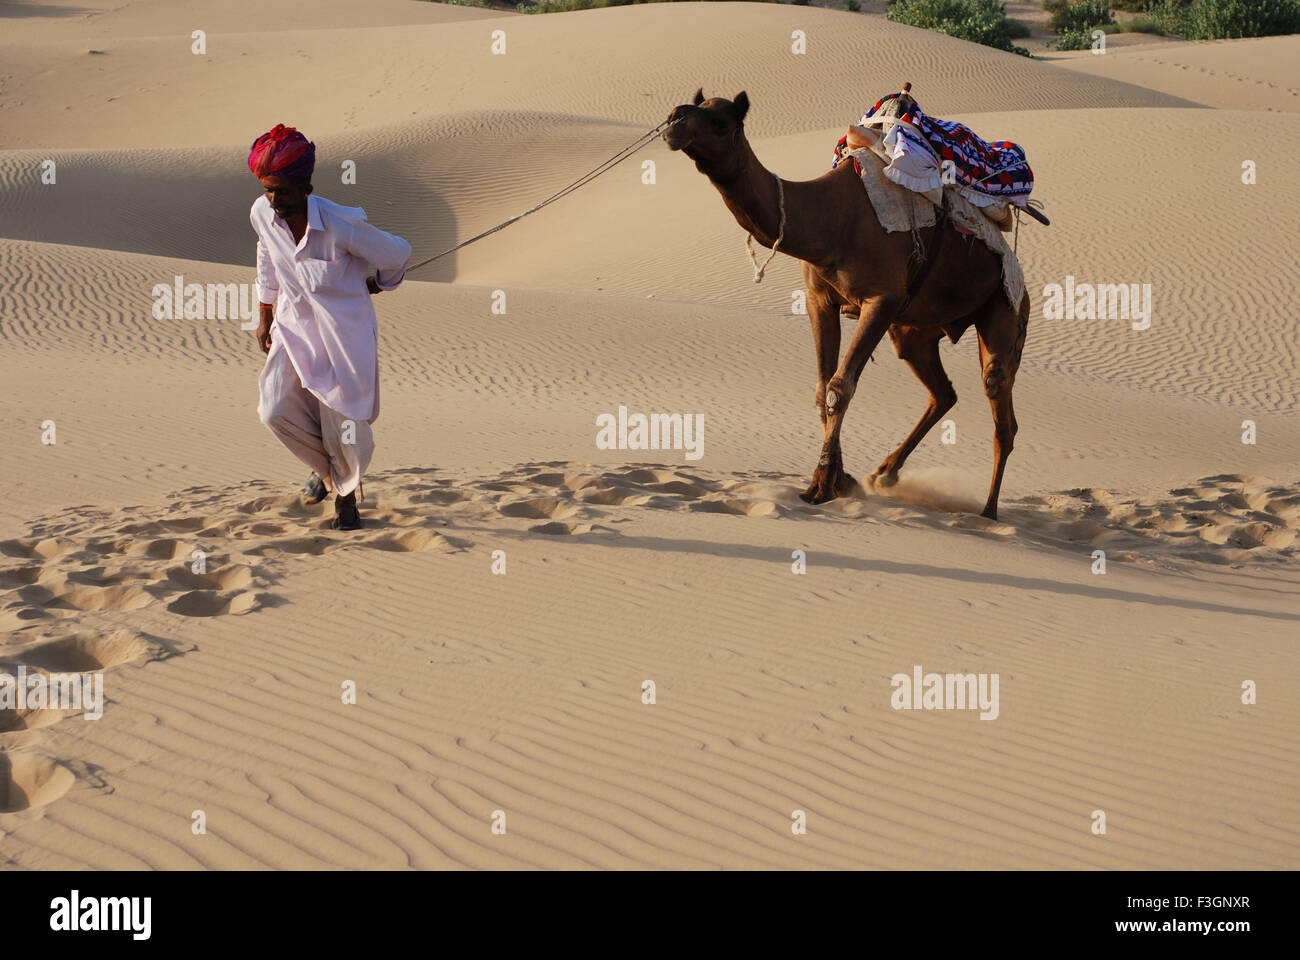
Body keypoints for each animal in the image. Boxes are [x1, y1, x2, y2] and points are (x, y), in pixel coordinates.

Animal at [664, 89, 1029, 520]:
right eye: (694, 107)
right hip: (915, 331)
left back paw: (988, 511)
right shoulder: (819, 299)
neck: (831, 221)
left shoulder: (882, 301)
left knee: (1000, 403)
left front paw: (823, 486)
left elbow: (841, 387)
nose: (674, 120)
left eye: (720, 123)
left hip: (1007, 306)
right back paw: (884, 474)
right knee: (943, 392)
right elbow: (823, 389)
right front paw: (840, 480)